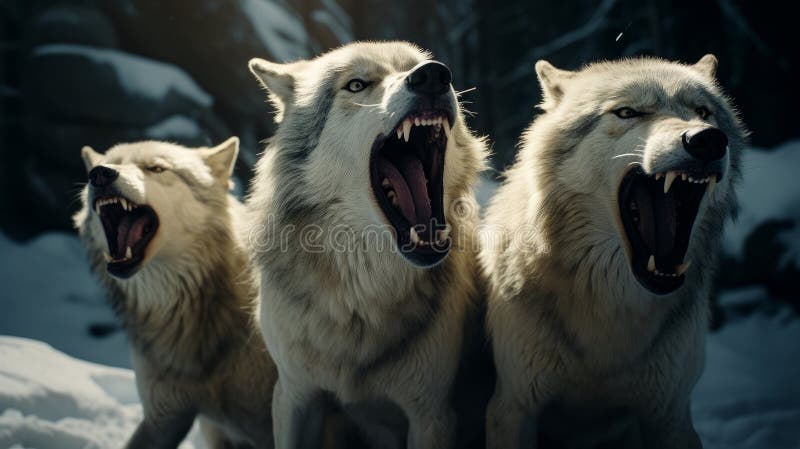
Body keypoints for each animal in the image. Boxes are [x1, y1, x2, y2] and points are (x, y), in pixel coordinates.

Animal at [246, 41, 488, 449]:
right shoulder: (295, 394)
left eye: (419, 65)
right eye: (357, 85)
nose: (434, 76)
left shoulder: (431, 413)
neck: (360, 303)